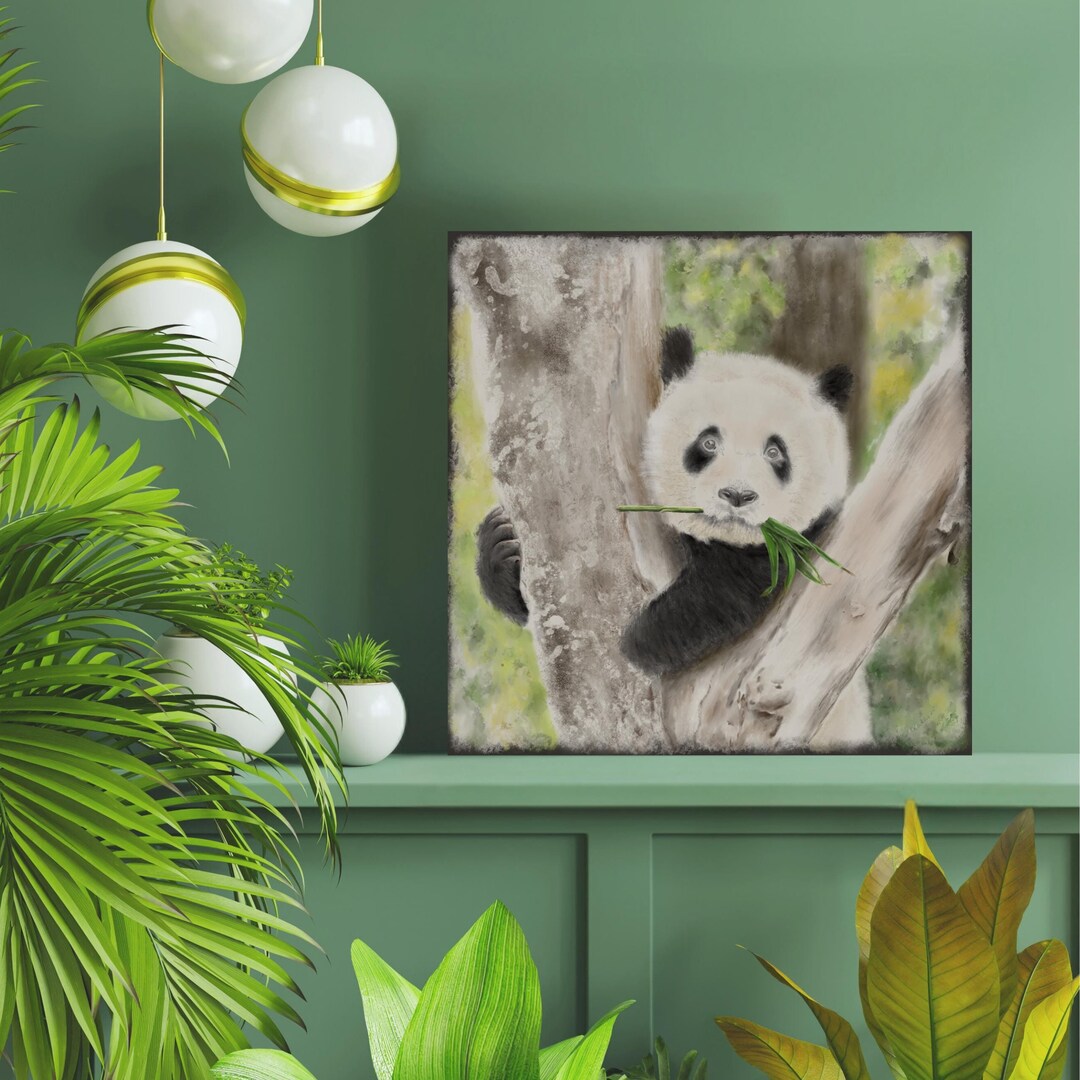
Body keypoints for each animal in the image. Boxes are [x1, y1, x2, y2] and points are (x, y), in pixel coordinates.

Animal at [476, 326, 872, 747]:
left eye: (775, 451)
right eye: (708, 442)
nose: (737, 495)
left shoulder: (795, 540)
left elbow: (725, 589)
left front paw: (637, 641)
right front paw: (501, 544)